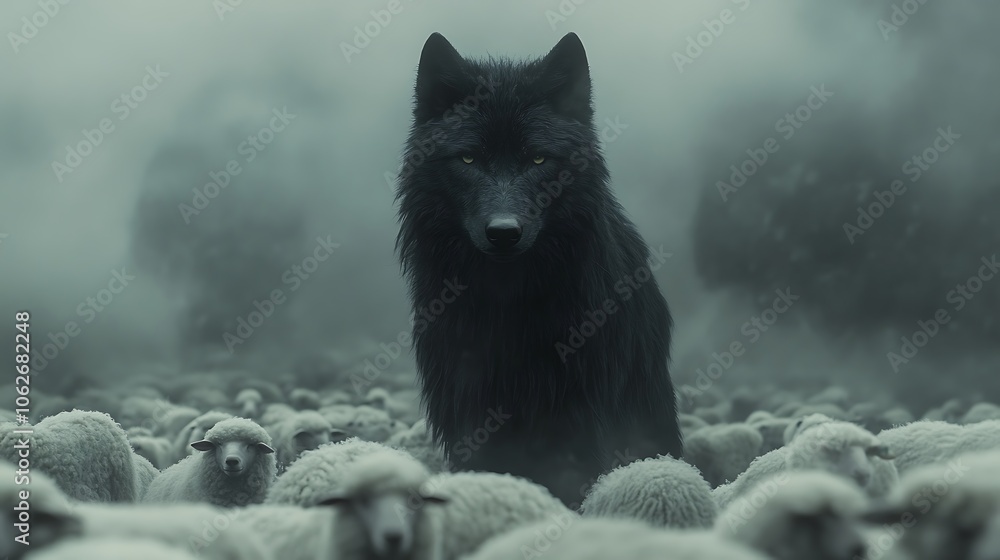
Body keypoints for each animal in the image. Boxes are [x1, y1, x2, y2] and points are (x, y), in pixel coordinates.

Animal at [395, 32, 681, 505]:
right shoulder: (469, 412)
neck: (507, 305)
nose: (503, 233)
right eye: (469, 160)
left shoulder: (578, 416)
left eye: (538, 160)